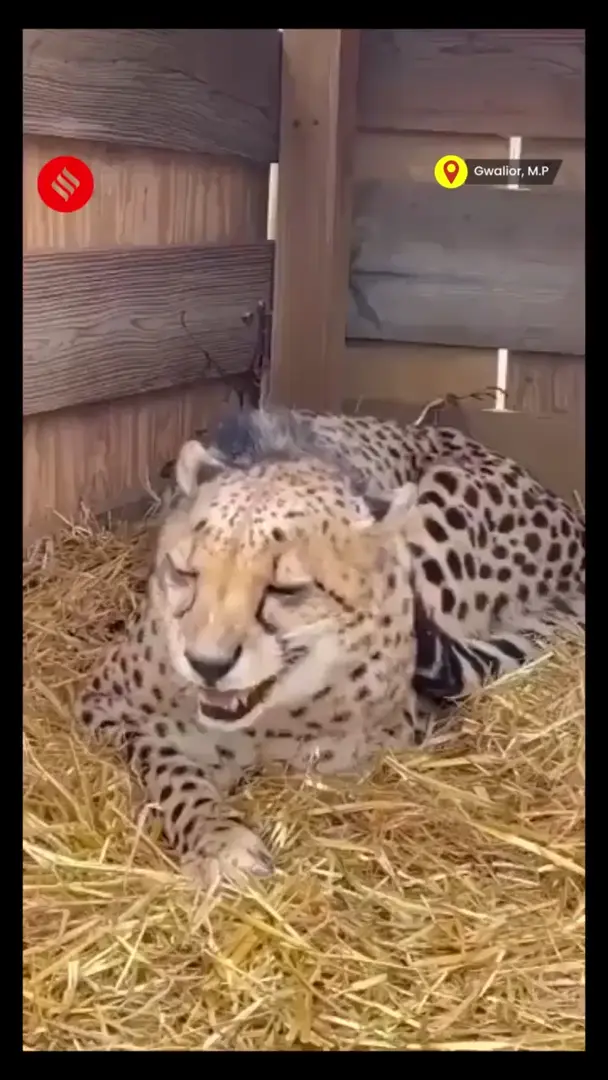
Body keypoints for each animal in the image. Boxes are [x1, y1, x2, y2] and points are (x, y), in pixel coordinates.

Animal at [77, 407, 585, 888]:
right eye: (186, 573)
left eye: (285, 589)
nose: (207, 664)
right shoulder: (104, 705)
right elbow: (167, 766)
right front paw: (218, 840)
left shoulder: (384, 735)